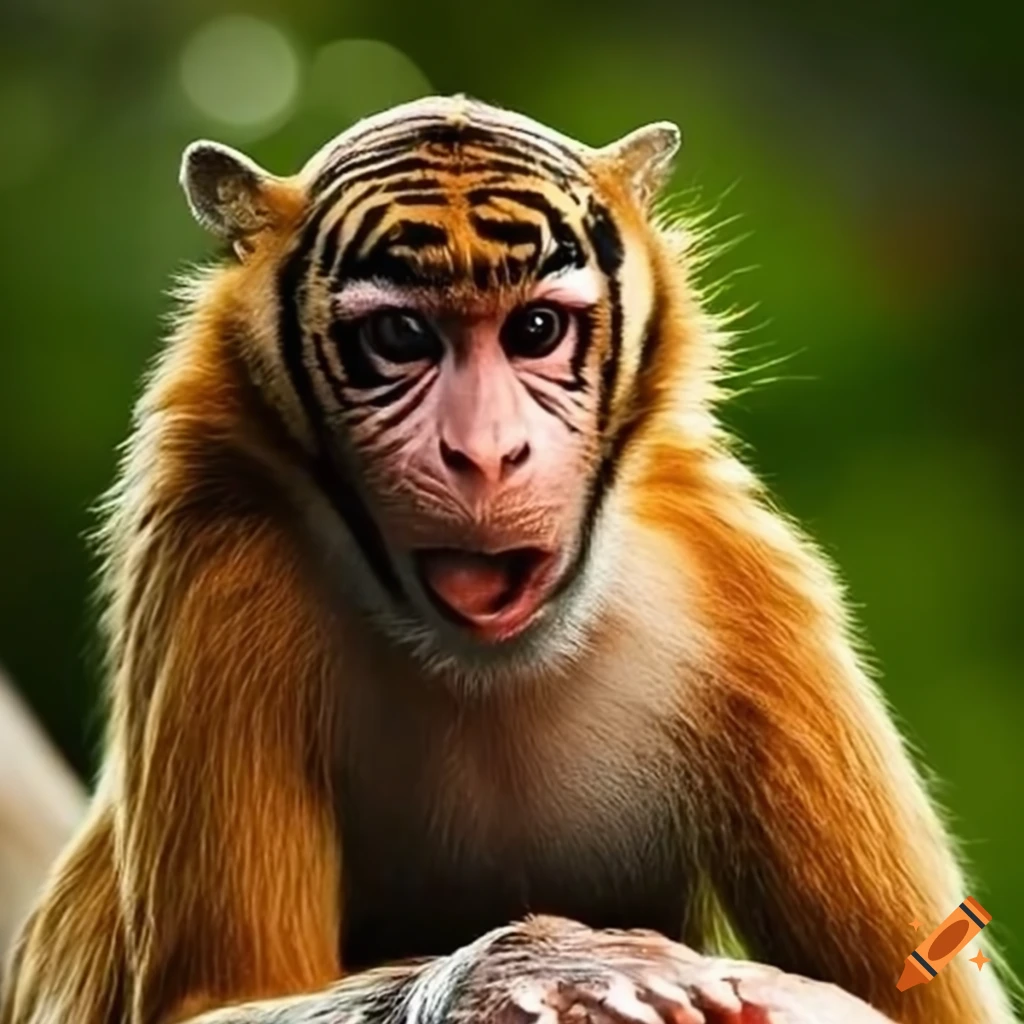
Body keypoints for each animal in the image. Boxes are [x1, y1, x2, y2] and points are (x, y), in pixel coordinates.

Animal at [0, 95, 1015, 1024]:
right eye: (401, 338)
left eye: (535, 331)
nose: (485, 455)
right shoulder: (212, 564)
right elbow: (213, 1000)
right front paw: (542, 965)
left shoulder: (744, 583)